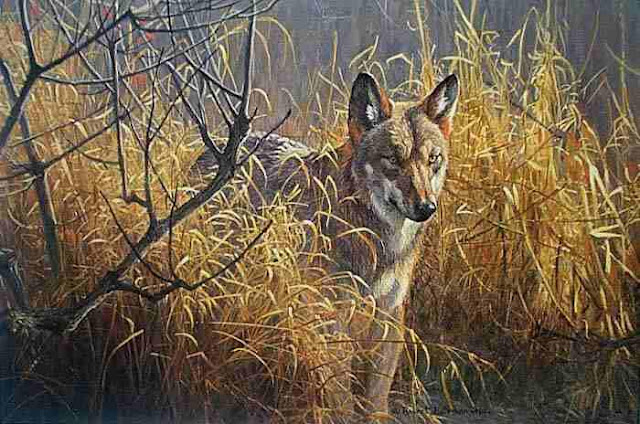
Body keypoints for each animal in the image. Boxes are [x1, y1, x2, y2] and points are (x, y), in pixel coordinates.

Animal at [195, 72, 459, 419]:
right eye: (392, 159)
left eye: (433, 160)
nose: (427, 207)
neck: (374, 242)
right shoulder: (330, 322)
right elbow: (341, 397)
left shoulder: (389, 317)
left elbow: (375, 400)